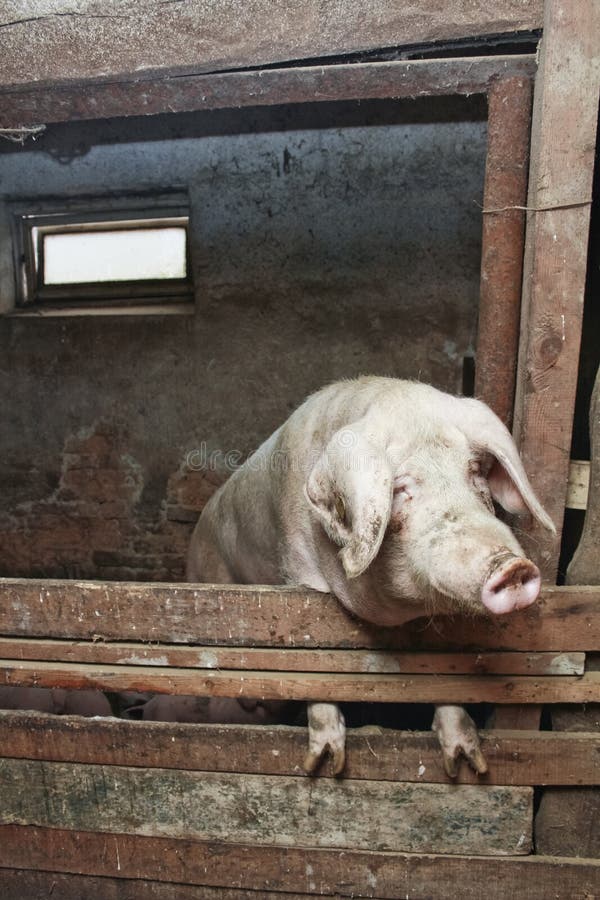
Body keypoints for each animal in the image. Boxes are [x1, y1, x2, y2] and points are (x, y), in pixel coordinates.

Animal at [187, 377, 555, 777]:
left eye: (474, 471)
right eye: (401, 488)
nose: (512, 566)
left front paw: (466, 767)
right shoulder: (297, 578)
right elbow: (311, 663)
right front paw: (325, 767)